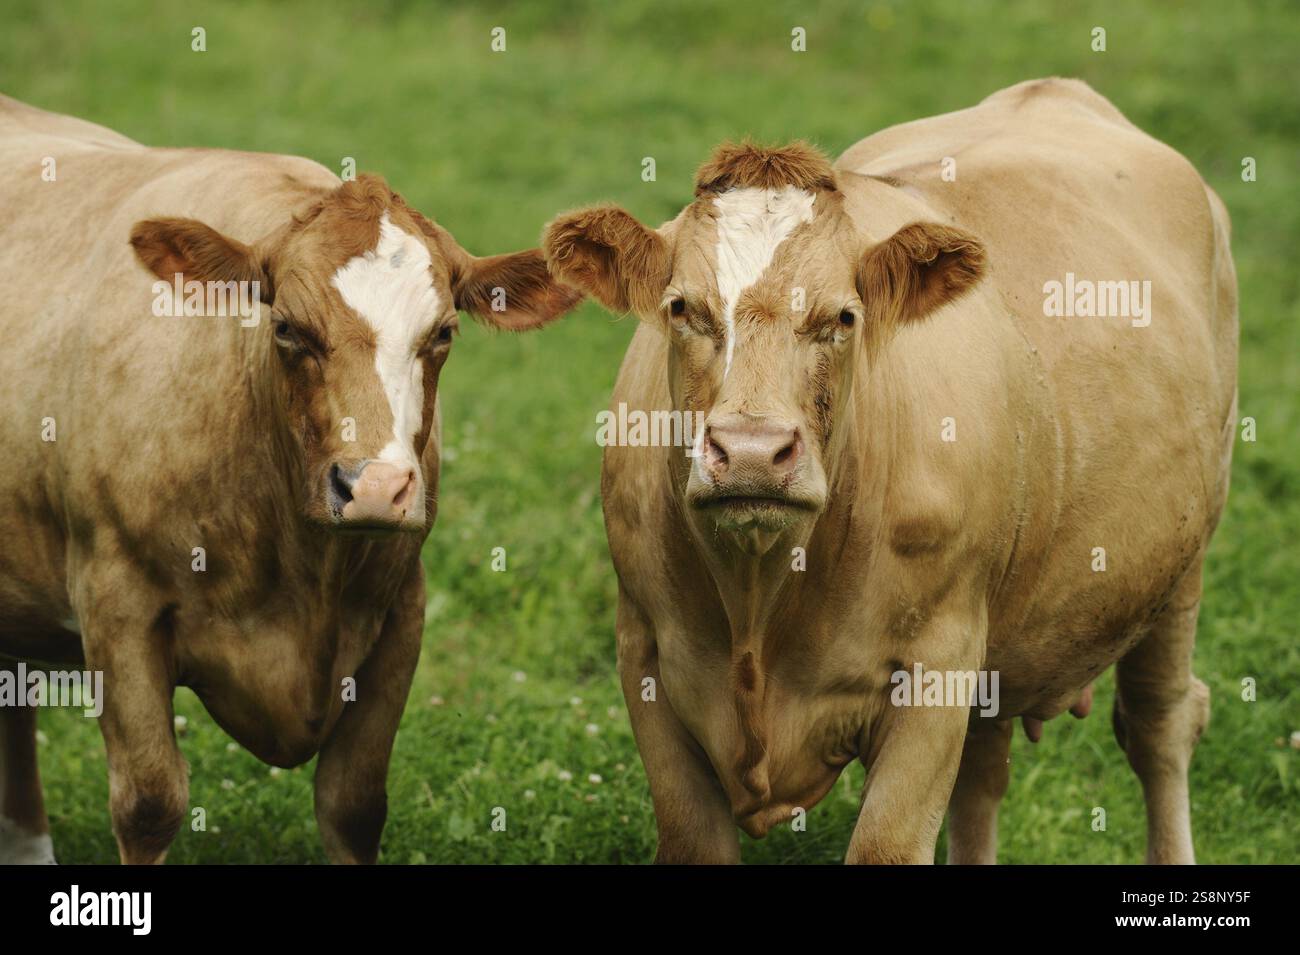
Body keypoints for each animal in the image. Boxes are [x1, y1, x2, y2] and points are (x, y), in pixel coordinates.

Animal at [0, 95, 581, 864]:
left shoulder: (402, 610)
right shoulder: (115, 602)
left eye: (444, 333)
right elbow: (150, 803)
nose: (372, 487)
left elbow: (353, 804)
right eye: (286, 328)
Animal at [543, 78, 1237, 864]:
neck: (759, 602)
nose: (751, 451)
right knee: (986, 768)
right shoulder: (646, 658)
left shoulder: (936, 670)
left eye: (844, 317)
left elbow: (888, 844)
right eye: (681, 307)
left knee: (1159, 724)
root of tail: (1060, 90)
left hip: (1180, 565)